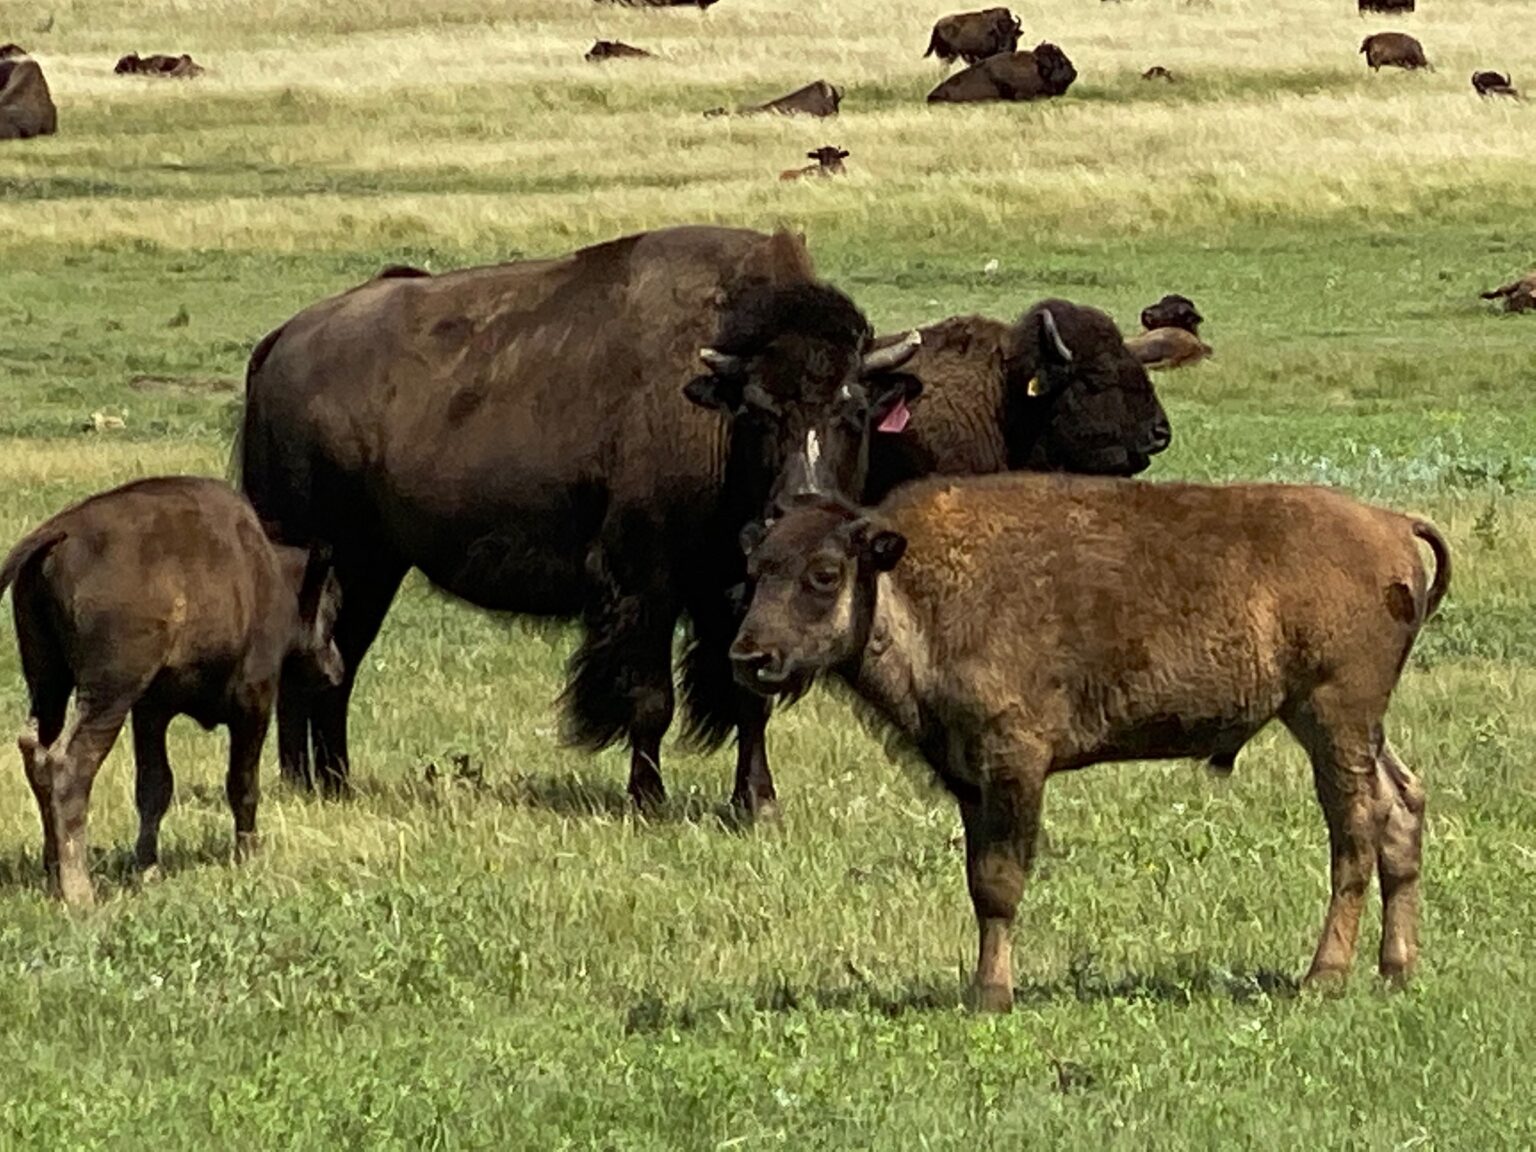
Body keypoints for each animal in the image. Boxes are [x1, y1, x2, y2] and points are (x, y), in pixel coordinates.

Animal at [2, 477, 342, 906]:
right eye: (332, 610)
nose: (336, 669)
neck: (268, 574)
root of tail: (60, 531)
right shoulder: (255, 701)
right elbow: (242, 783)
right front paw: (248, 856)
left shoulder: (151, 711)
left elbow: (154, 786)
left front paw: (147, 869)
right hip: (109, 694)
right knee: (69, 764)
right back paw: (80, 892)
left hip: (48, 682)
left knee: (37, 752)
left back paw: (53, 876)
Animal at [236, 226, 921, 815]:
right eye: (756, 412)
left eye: (853, 409)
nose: (802, 505)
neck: (710, 412)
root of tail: (280, 342)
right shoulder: (646, 582)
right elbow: (650, 698)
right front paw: (648, 801)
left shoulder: (739, 599)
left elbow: (750, 698)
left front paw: (757, 803)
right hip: (324, 555)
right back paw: (304, 783)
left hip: (374, 566)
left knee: (339, 663)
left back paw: (331, 784)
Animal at [730, 477, 1448, 1009]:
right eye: (756, 569)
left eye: (825, 573)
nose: (751, 655)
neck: (908, 579)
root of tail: (1391, 523)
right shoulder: (971, 779)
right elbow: (979, 882)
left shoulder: (1015, 763)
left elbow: (1000, 882)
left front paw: (992, 995)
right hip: (1346, 726)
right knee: (1402, 804)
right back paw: (1395, 969)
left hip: (1333, 717)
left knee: (1354, 832)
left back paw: (1323, 976)